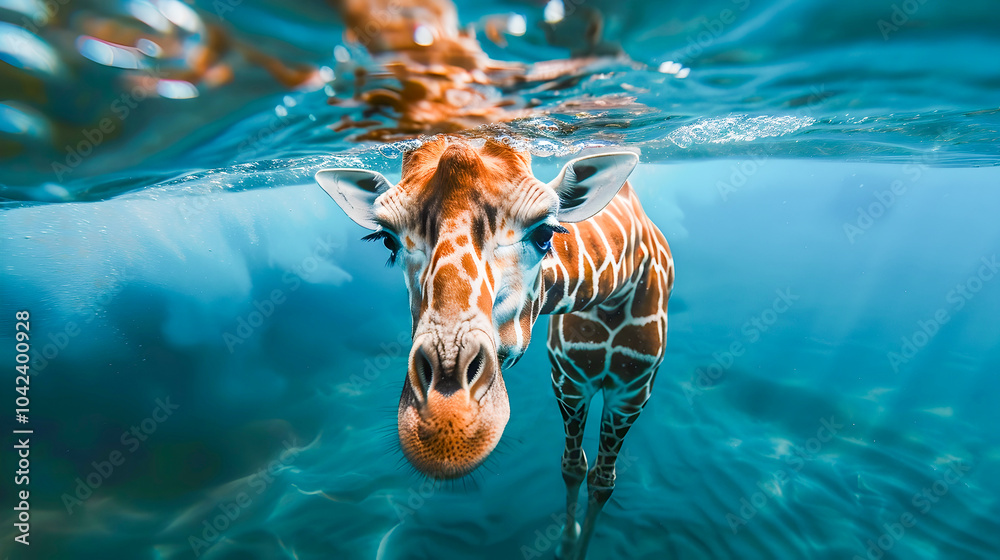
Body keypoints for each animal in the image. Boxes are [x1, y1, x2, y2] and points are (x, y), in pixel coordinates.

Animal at [315, 136, 673, 559]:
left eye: (545, 233)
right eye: (387, 240)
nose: (448, 423)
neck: (614, 287)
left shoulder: (632, 389)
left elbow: (603, 479)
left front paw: (576, 548)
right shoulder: (569, 381)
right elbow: (573, 465)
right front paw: (567, 544)